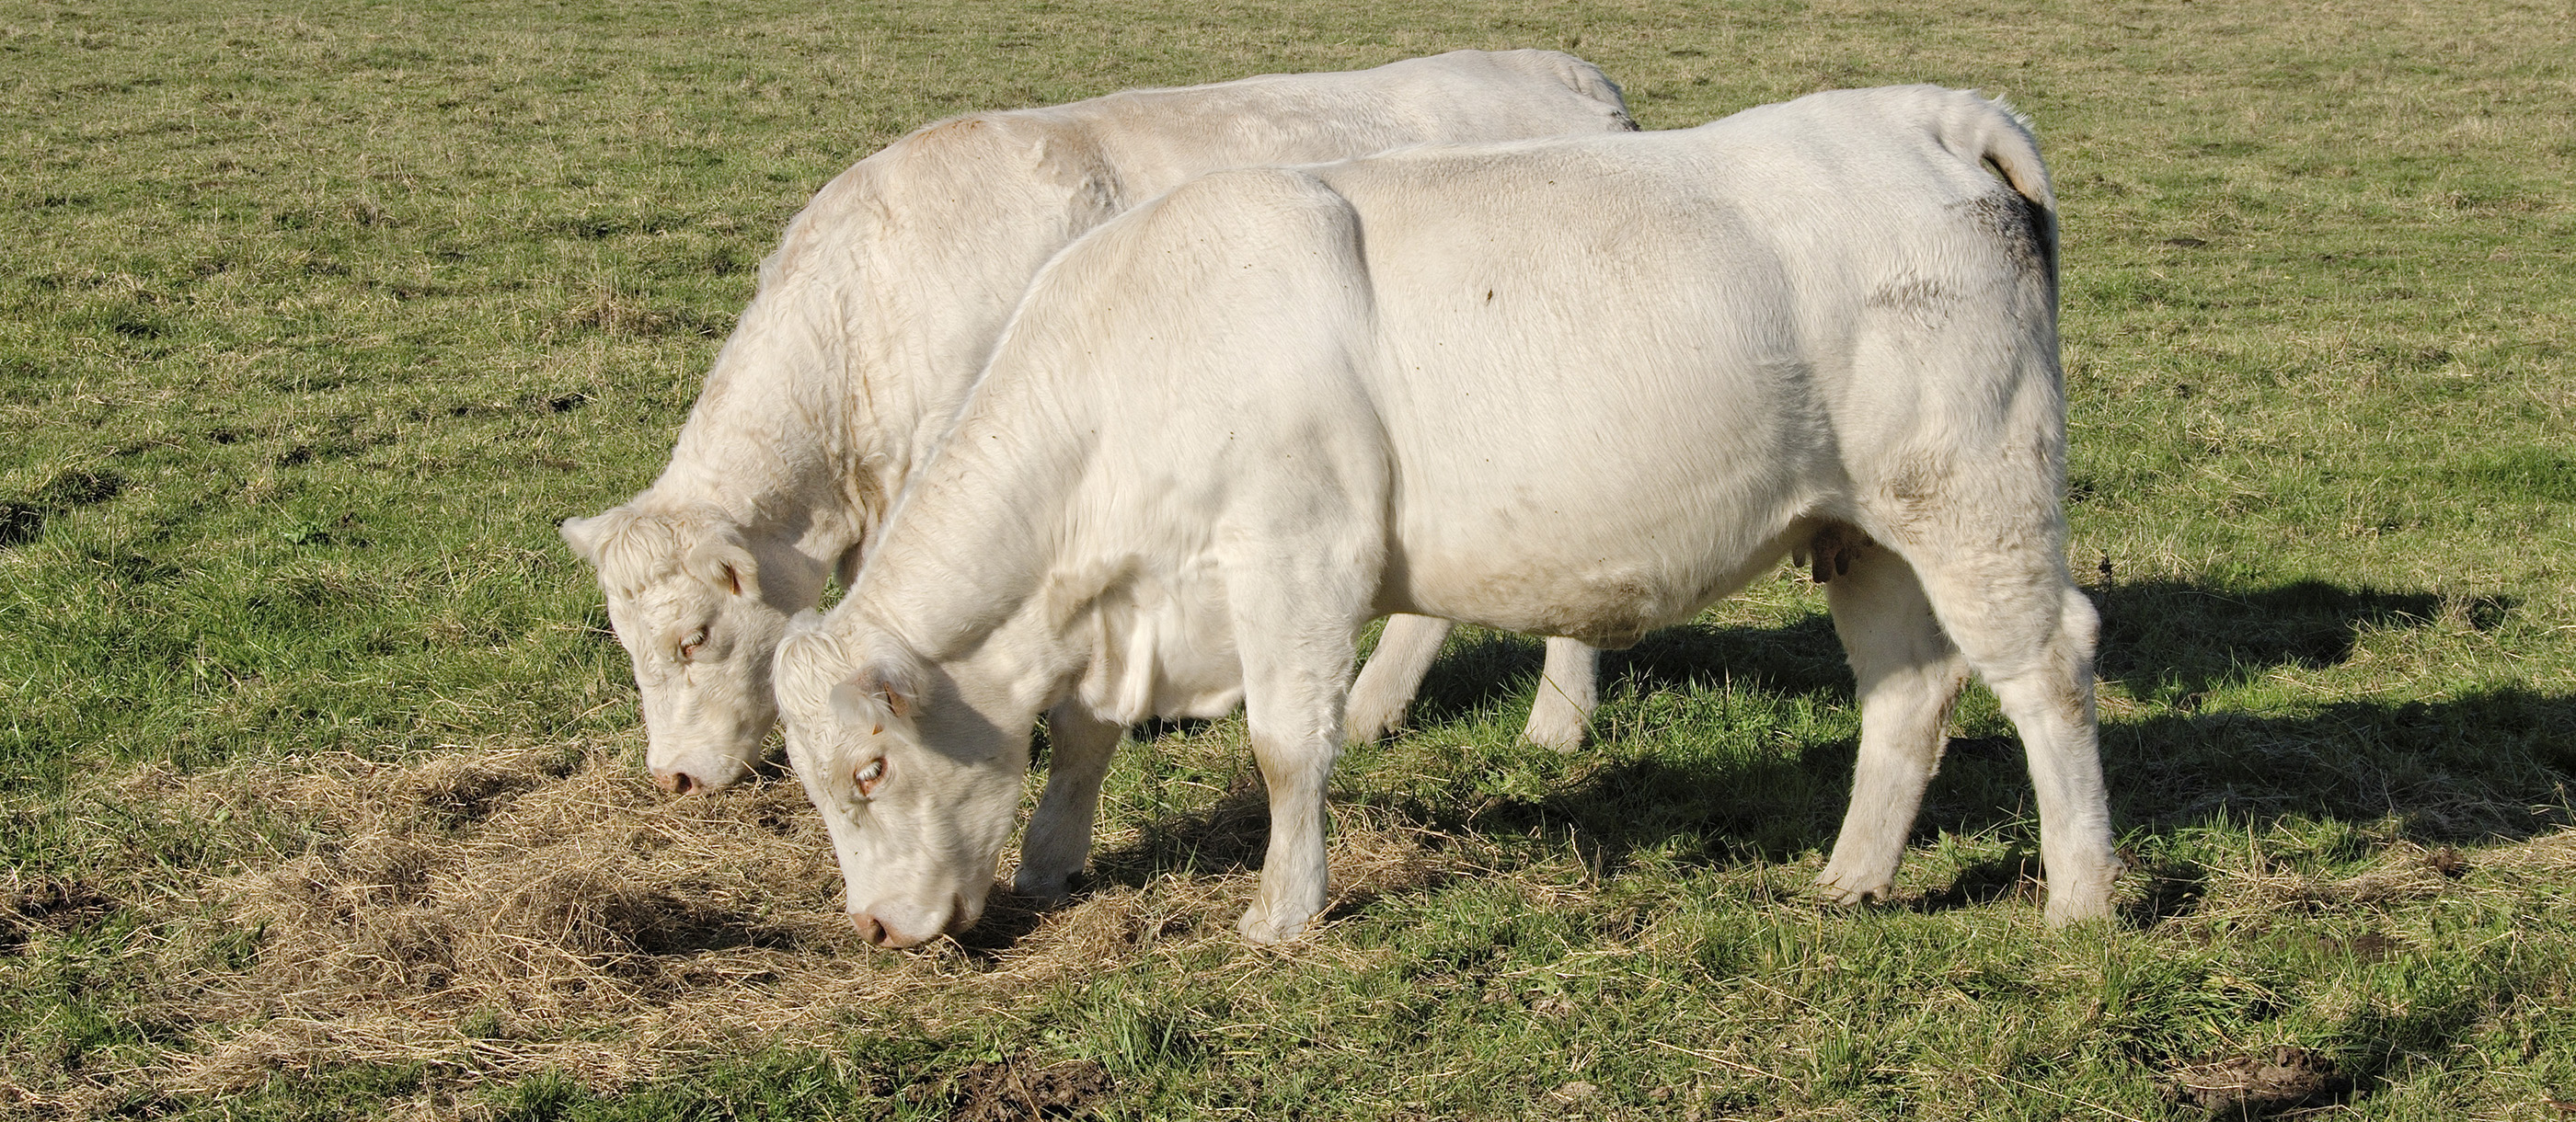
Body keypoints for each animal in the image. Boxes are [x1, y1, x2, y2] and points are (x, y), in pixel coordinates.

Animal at [558, 50, 1636, 797]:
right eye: (625, 642)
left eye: (694, 636)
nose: (673, 777)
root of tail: (1565, 73)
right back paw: (1376, 711)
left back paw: (1555, 722)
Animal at [771, 85, 2124, 948]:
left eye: (871, 767)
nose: (876, 927)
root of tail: (1926, 114)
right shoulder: (1129, 597)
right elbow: (1083, 732)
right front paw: (1054, 861)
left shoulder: (1294, 558)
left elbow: (1284, 746)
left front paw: (1280, 915)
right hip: (1866, 531)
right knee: (1907, 688)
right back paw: (1849, 880)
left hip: (1976, 496)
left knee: (2047, 665)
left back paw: (2082, 898)